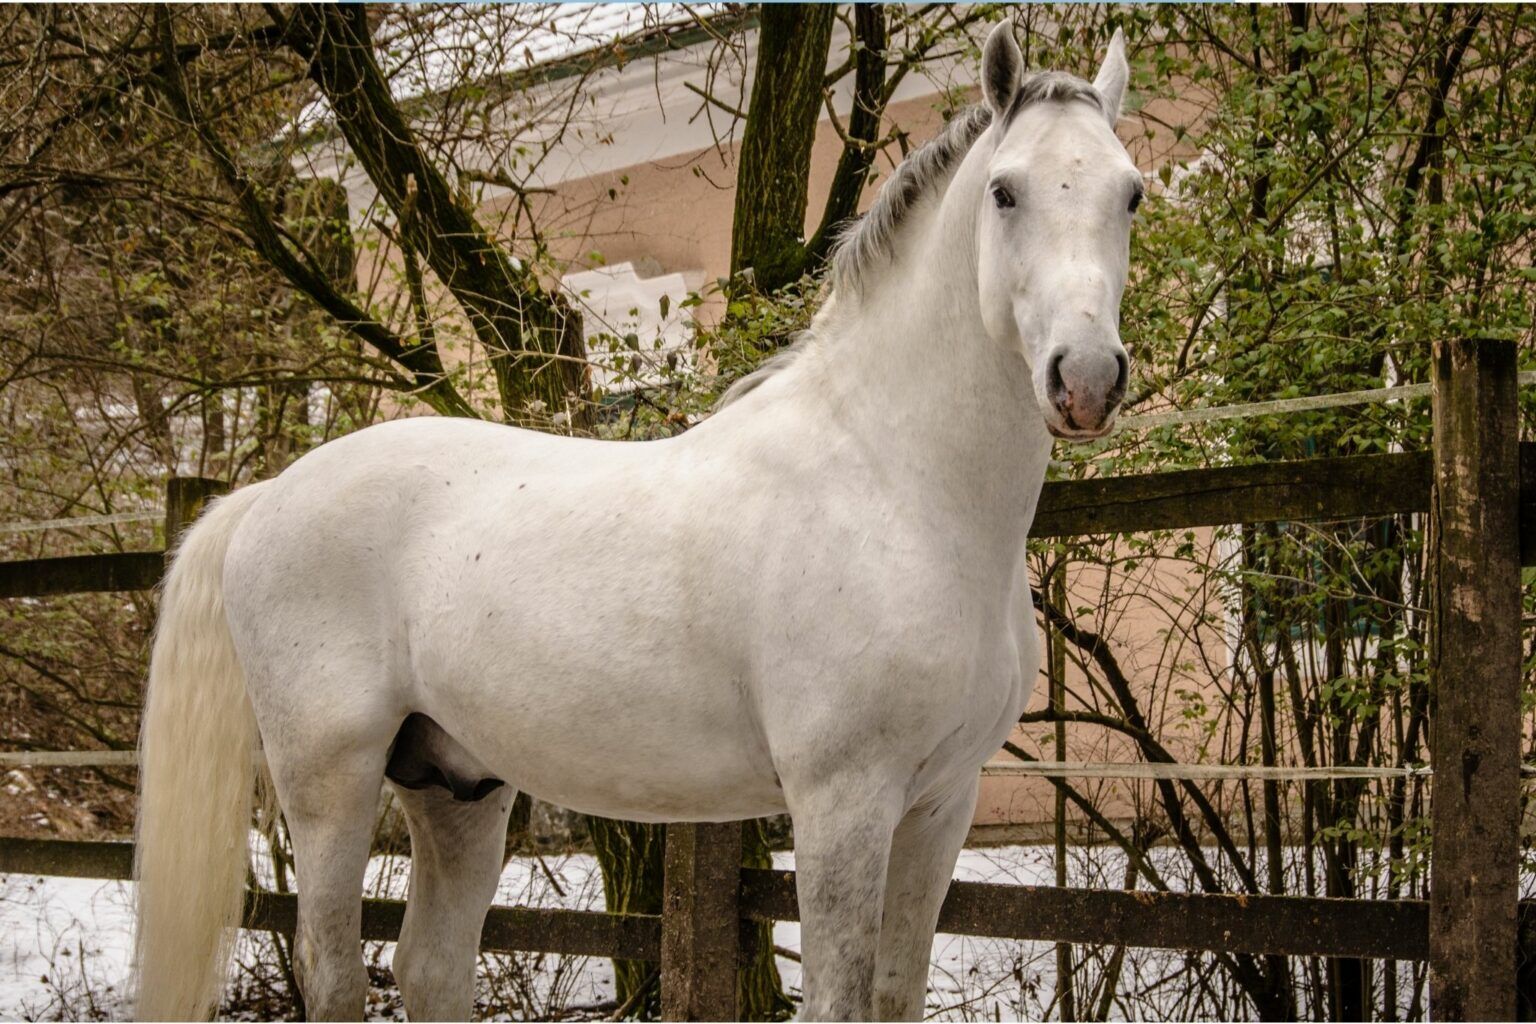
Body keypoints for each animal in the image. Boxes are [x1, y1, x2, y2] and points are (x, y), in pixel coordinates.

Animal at [133, 23, 1139, 1021]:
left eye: (1129, 191)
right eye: (1004, 191)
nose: (1086, 377)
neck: (897, 486)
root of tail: (267, 496)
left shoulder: (942, 804)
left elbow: (895, 996)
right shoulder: (844, 805)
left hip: (461, 787)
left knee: (429, 965)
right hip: (329, 781)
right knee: (335, 972)